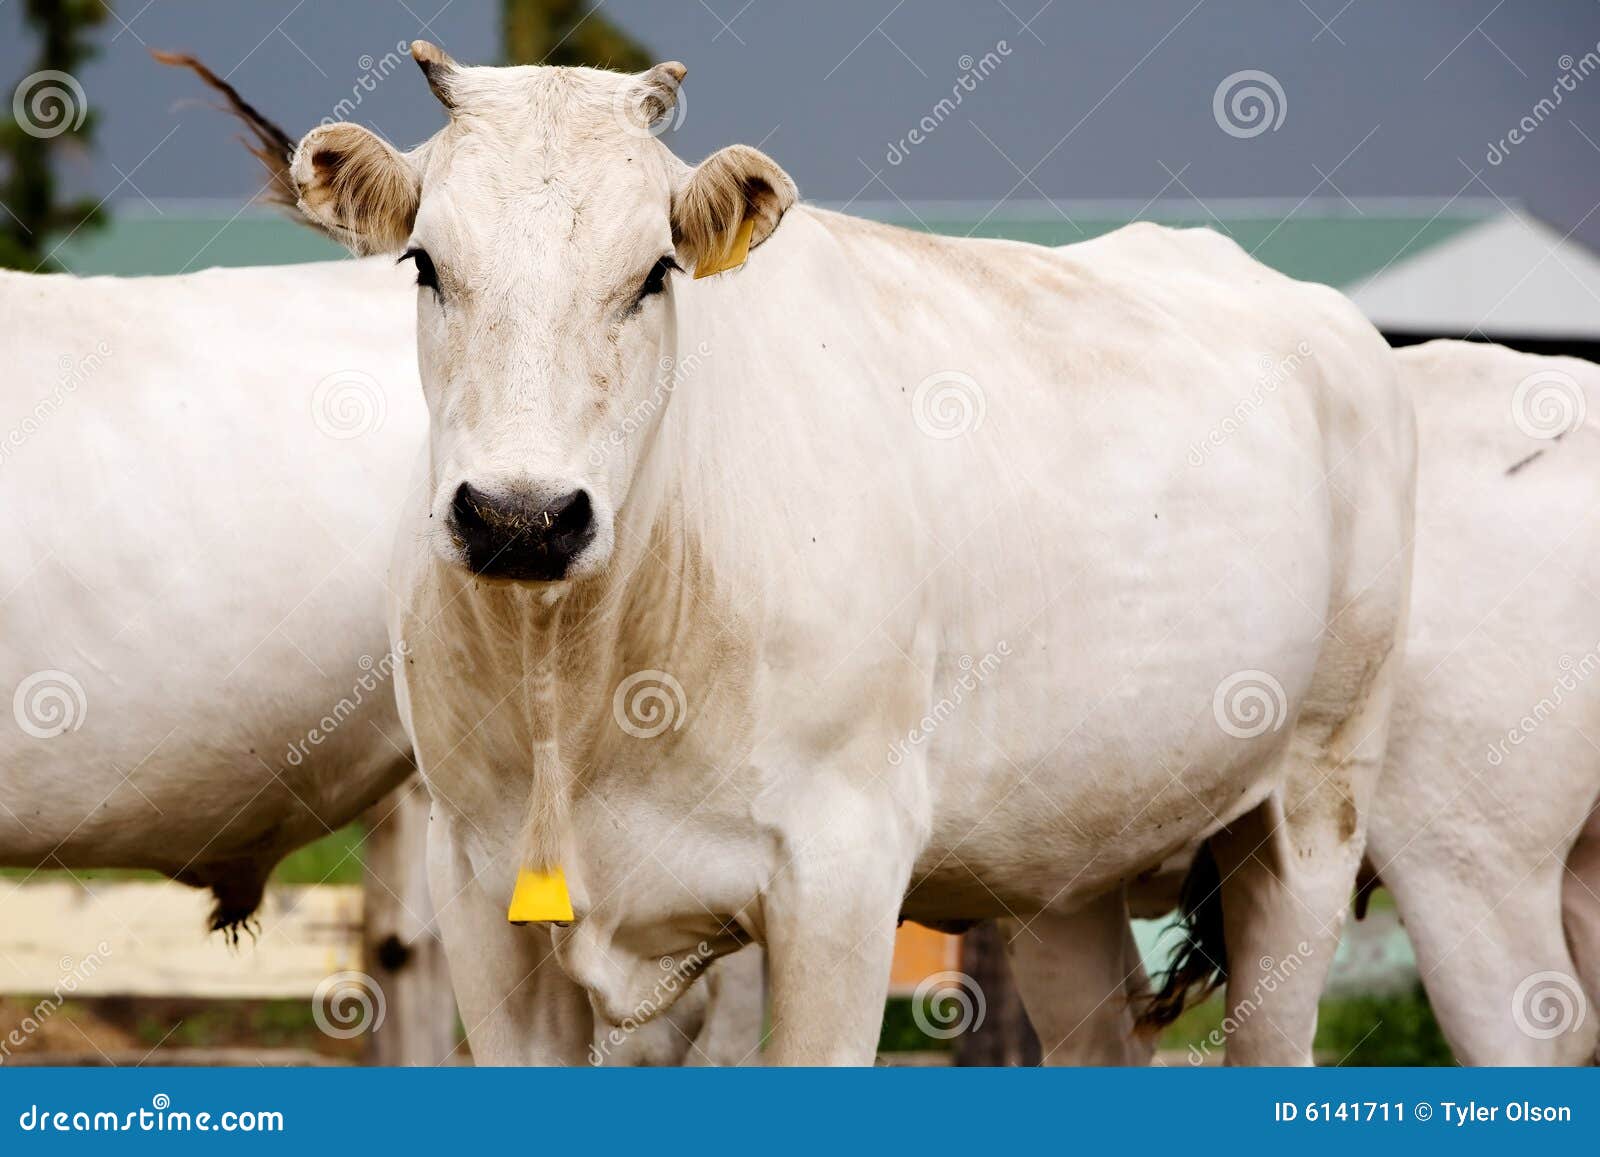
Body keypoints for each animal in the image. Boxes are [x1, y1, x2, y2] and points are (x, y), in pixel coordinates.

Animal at [202, 42, 1415, 1065]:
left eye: (654, 273)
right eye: (425, 263)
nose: (520, 517)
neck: (577, 677)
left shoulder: (841, 875)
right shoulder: (476, 888)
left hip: (1311, 808)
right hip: (1066, 868)